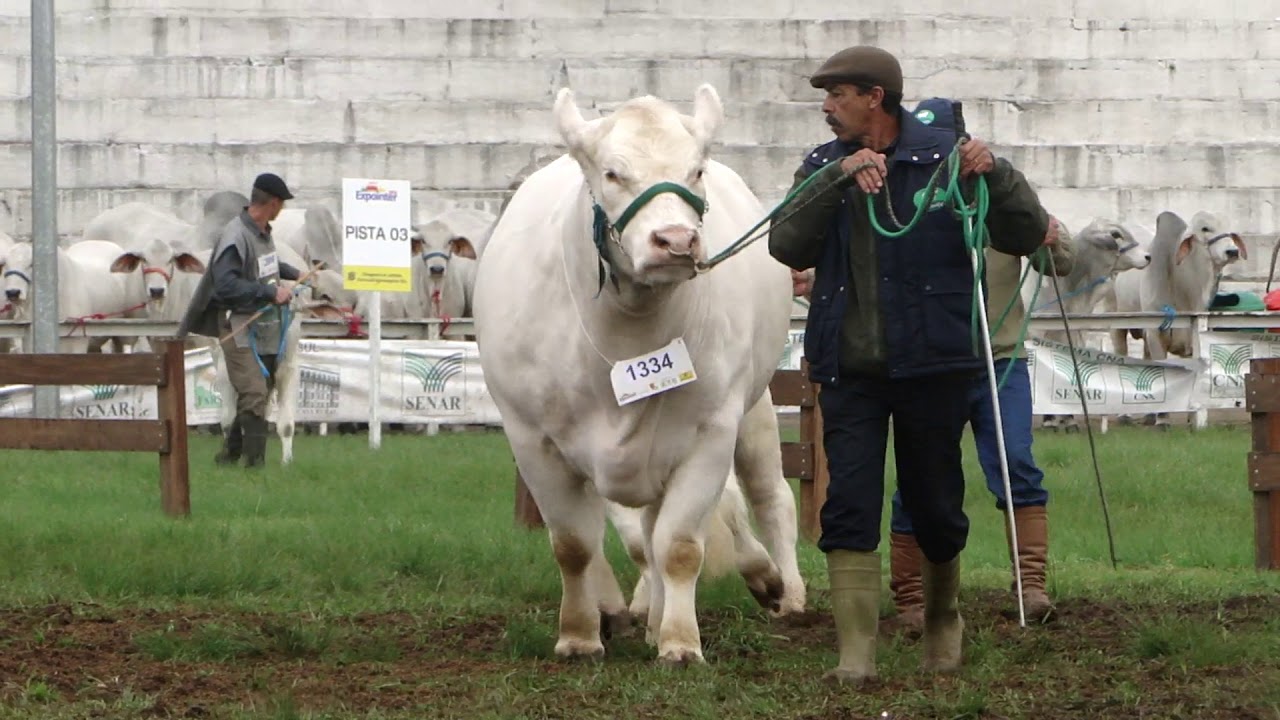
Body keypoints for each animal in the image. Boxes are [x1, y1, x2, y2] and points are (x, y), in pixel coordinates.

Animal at [473, 84, 803, 664]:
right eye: (611, 173)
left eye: (696, 170)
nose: (675, 240)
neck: (627, 334)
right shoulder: (533, 439)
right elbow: (575, 545)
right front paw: (579, 634)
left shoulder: (711, 431)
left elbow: (680, 545)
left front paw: (680, 641)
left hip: (756, 411)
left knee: (768, 498)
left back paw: (786, 591)